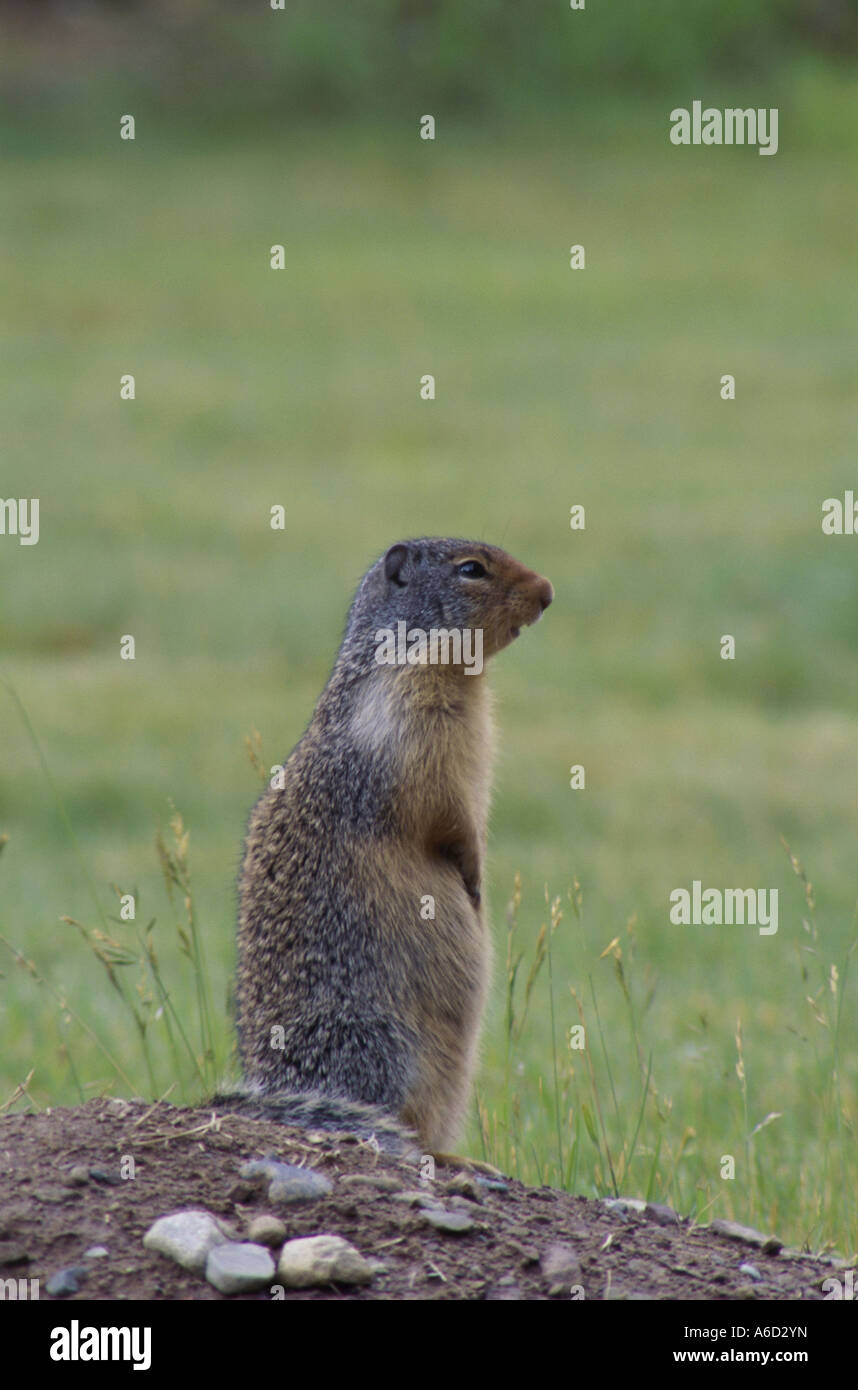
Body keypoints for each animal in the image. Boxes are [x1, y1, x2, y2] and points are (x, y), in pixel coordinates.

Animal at [219, 538, 553, 1155]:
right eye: (471, 569)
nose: (549, 592)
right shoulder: (411, 725)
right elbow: (445, 816)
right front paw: (474, 878)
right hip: (383, 1047)